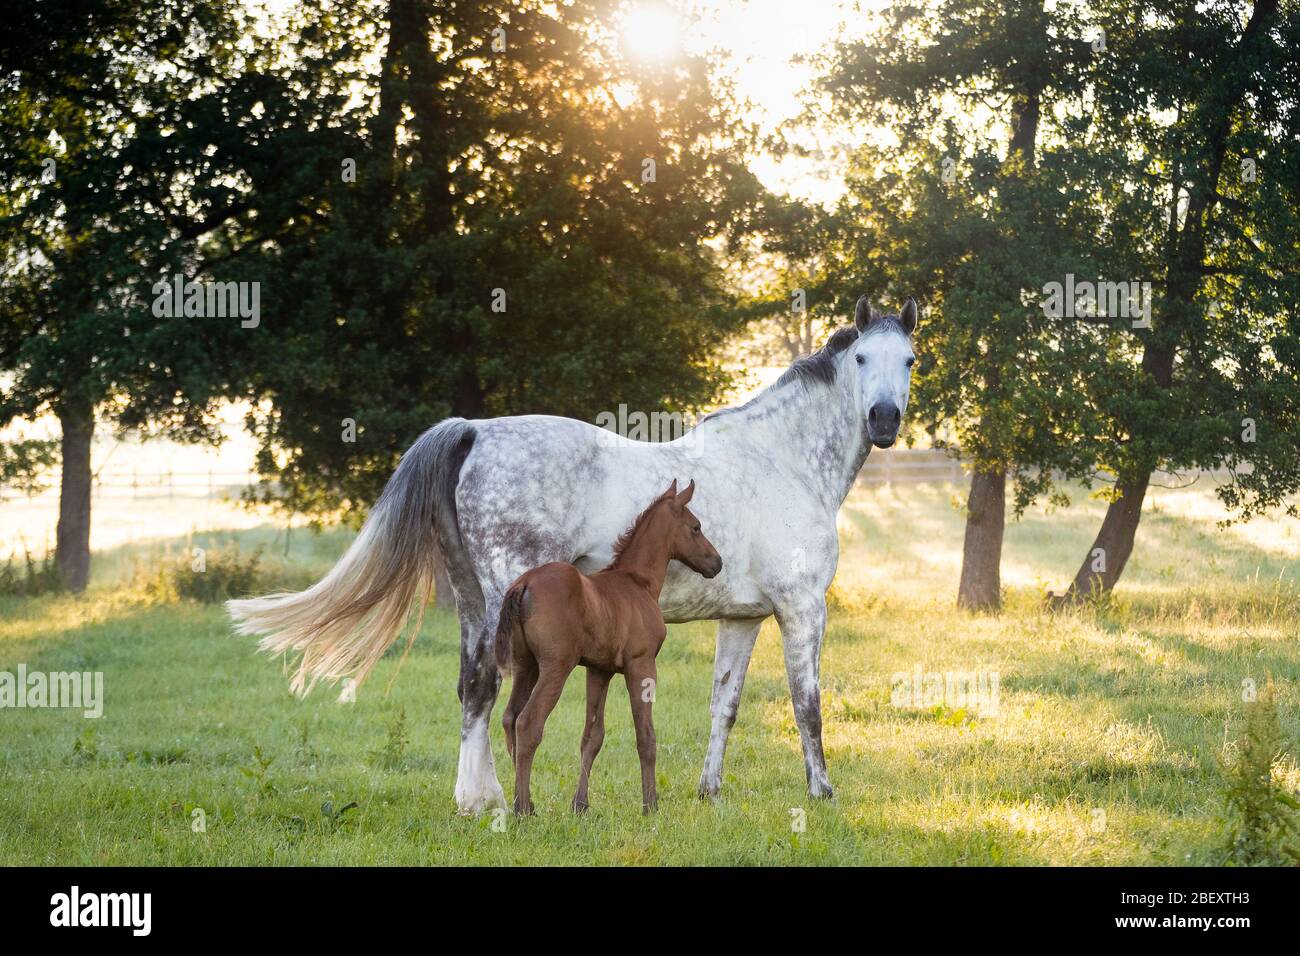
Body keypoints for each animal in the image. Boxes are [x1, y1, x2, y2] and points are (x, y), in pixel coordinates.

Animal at [495, 479, 722, 815]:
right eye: (696, 527)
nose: (717, 563)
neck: (638, 583)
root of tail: (524, 585)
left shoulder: (599, 671)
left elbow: (592, 736)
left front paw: (580, 805)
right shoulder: (641, 665)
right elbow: (646, 736)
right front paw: (650, 804)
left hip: (526, 666)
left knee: (510, 718)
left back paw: (525, 803)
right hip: (555, 667)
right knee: (528, 723)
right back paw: (523, 809)